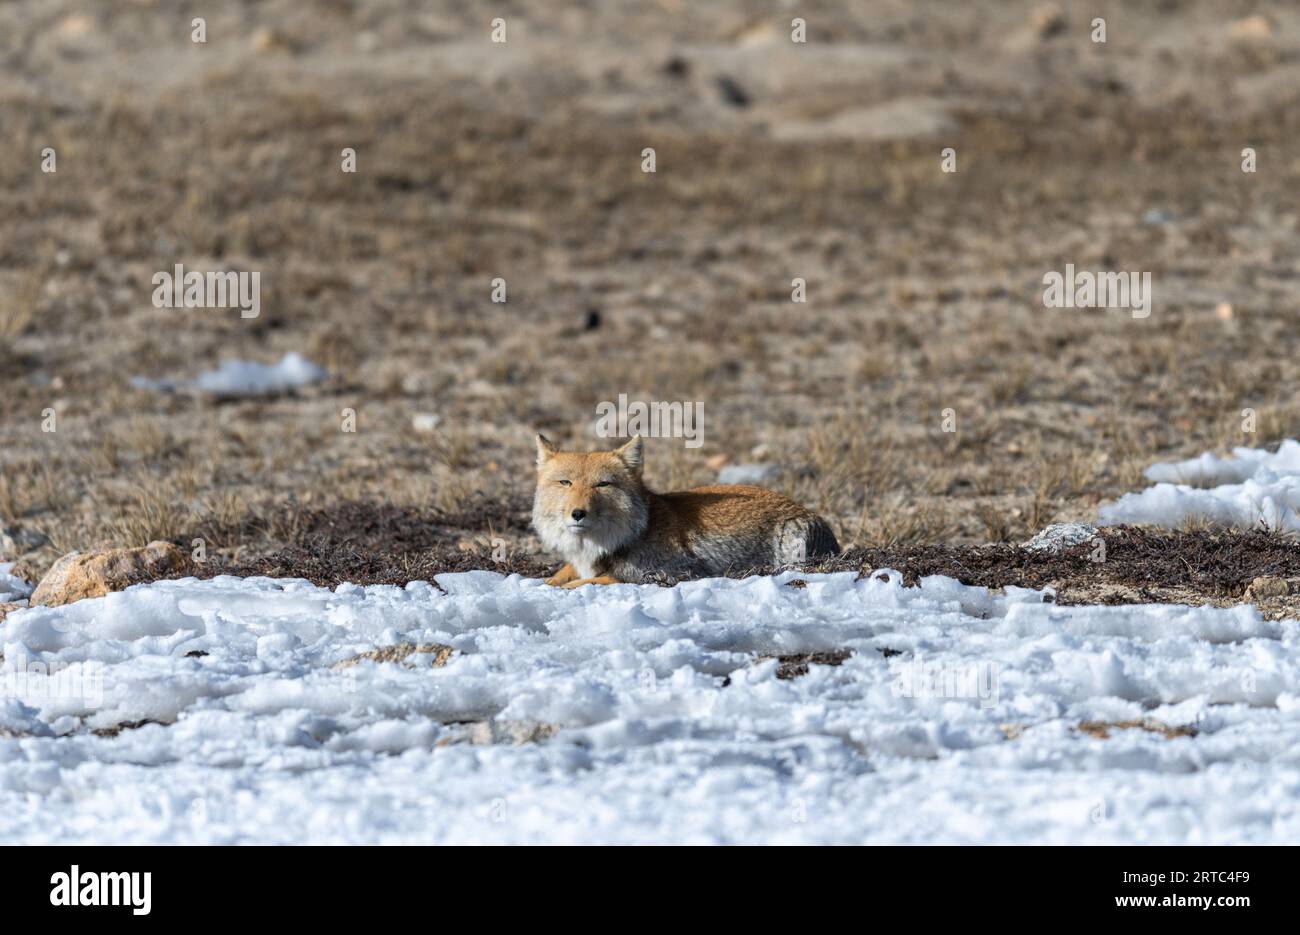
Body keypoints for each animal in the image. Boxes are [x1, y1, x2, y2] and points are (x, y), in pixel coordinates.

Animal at [532, 433, 840, 587]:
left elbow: (585, 583)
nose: (578, 513)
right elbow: (560, 576)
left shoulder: (672, 574)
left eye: (602, 484)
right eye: (565, 483)